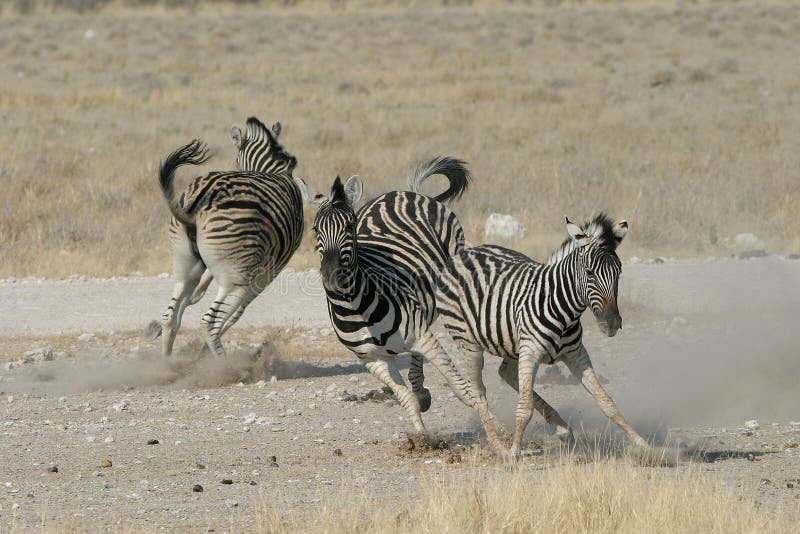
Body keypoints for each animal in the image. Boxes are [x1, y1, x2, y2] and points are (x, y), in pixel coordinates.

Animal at [150, 117, 304, 357]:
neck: (273, 170)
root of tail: (198, 202)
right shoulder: (266, 274)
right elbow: (236, 315)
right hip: (237, 278)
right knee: (210, 322)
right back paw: (223, 363)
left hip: (186, 264)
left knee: (170, 318)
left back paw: (166, 363)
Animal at [299, 160, 503, 448]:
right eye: (316, 229)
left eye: (350, 226)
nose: (331, 276)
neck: (354, 308)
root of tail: (407, 192)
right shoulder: (372, 359)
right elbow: (405, 398)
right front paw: (422, 439)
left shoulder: (421, 335)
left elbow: (462, 390)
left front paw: (499, 438)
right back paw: (422, 394)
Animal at [435, 214, 649, 458]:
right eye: (589, 273)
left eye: (619, 272)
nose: (612, 323)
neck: (565, 311)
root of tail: (465, 252)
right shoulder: (531, 351)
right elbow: (524, 408)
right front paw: (514, 452)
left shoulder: (576, 354)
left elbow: (606, 401)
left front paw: (643, 444)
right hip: (469, 342)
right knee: (479, 393)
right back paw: (498, 446)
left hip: (513, 344)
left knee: (506, 372)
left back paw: (562, 429)